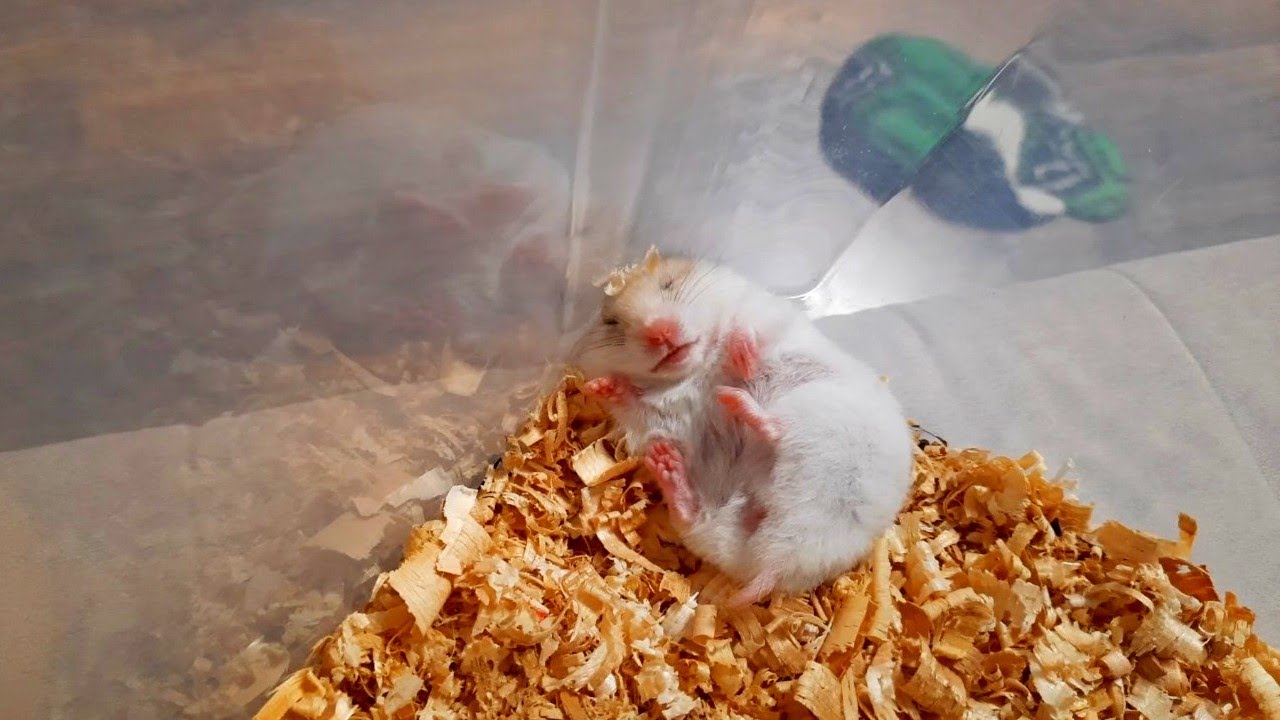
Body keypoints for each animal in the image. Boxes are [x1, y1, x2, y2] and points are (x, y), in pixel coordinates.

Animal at [573, 248, 913, 606]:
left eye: (668, 284)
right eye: (612, 323)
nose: (660, 332)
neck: (697, 369)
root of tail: (783, 558)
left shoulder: (768, 316)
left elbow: (748, 339)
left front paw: (739, 348)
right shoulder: (657, 418)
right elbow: (636, 403)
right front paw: (601, 386)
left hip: (818, 415)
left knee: (776, 430)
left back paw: (734, 401)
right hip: (725, 529)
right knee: (703, 515)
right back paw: (670, 464)